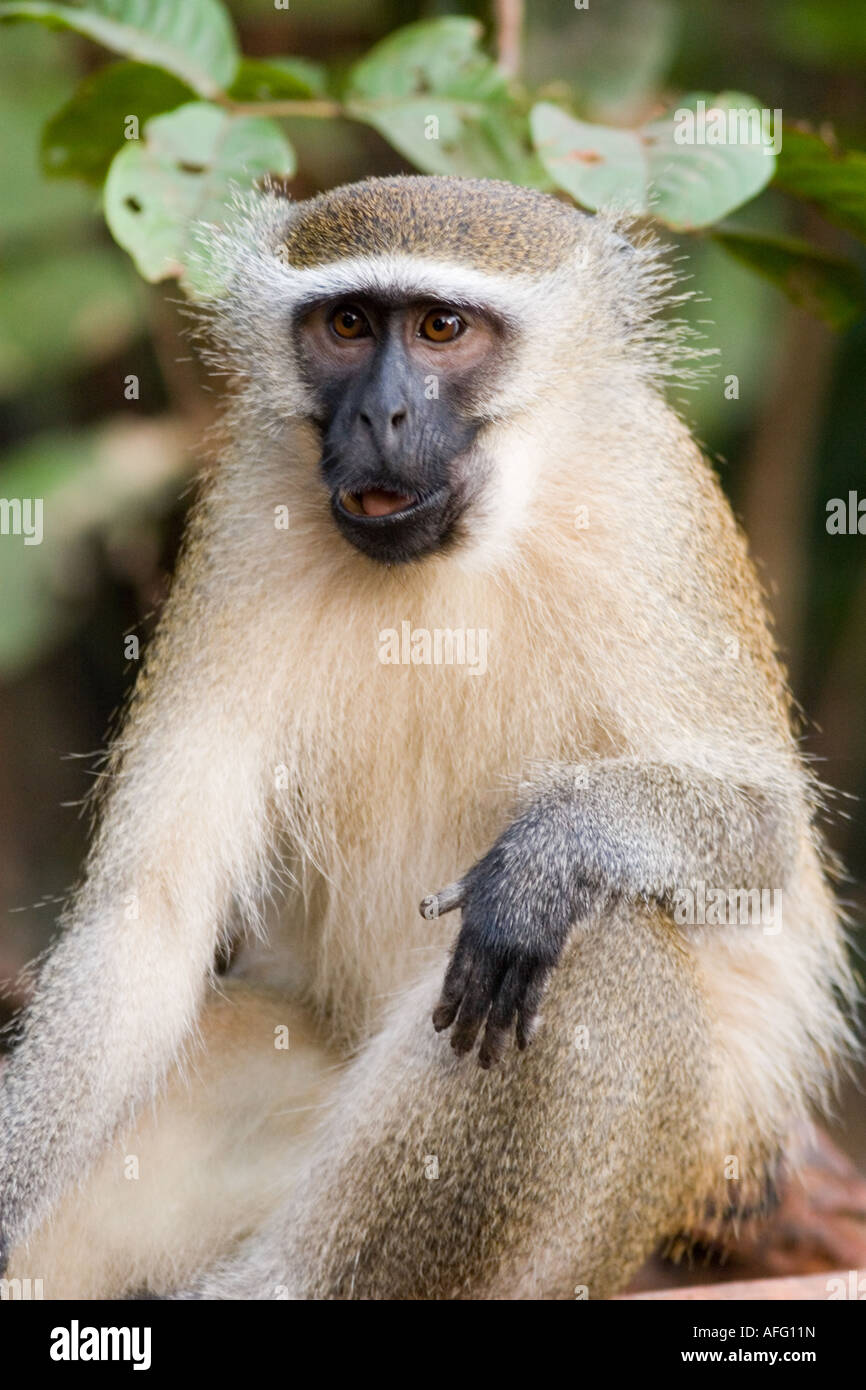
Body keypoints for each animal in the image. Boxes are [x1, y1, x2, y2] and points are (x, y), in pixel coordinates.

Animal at [0, 175, 855, 1300]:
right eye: (349, 325)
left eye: (443, 328)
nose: (381, 414)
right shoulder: (244, 511)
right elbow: (150, 915)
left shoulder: (650, 500)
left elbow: (759, 841)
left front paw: (549, 854)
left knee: (597, 943)